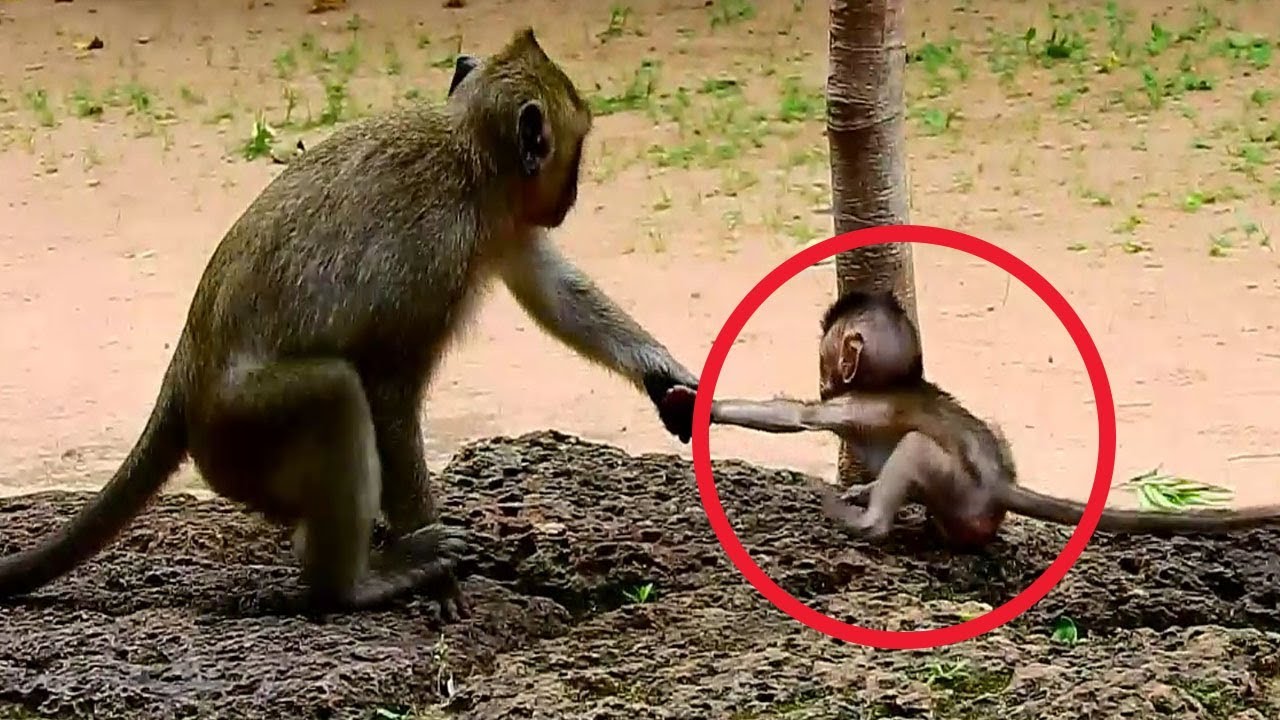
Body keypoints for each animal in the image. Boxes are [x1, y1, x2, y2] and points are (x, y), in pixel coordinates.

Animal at [0, 28, 699, 615]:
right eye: (576, 149)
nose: (570, 195)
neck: (467, 154)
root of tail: (183, 376)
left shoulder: (501, 222)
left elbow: (553, 291)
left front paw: (666, 378)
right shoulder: (437, 256)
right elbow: (389, 394)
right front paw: (441, 579)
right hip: (241, 432)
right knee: (336, 392)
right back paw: (351, 583)